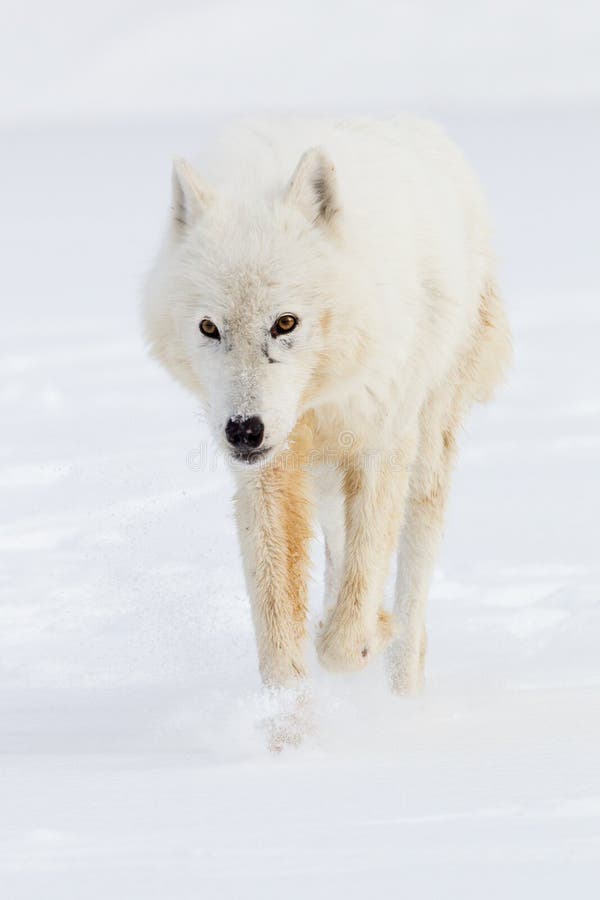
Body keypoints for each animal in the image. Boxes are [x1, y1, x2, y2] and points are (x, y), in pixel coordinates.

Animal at [143, 117, 511, 720]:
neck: (319, 398)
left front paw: (361, 640)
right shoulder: (269, 475)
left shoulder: (382, 443)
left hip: (427, 453)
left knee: (411, 591)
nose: (243, 430)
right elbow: (279, 632)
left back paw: (405, 690)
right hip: (323, 477)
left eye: (285, 323)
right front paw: (288, 727)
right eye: (209, 329)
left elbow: (351, 621)